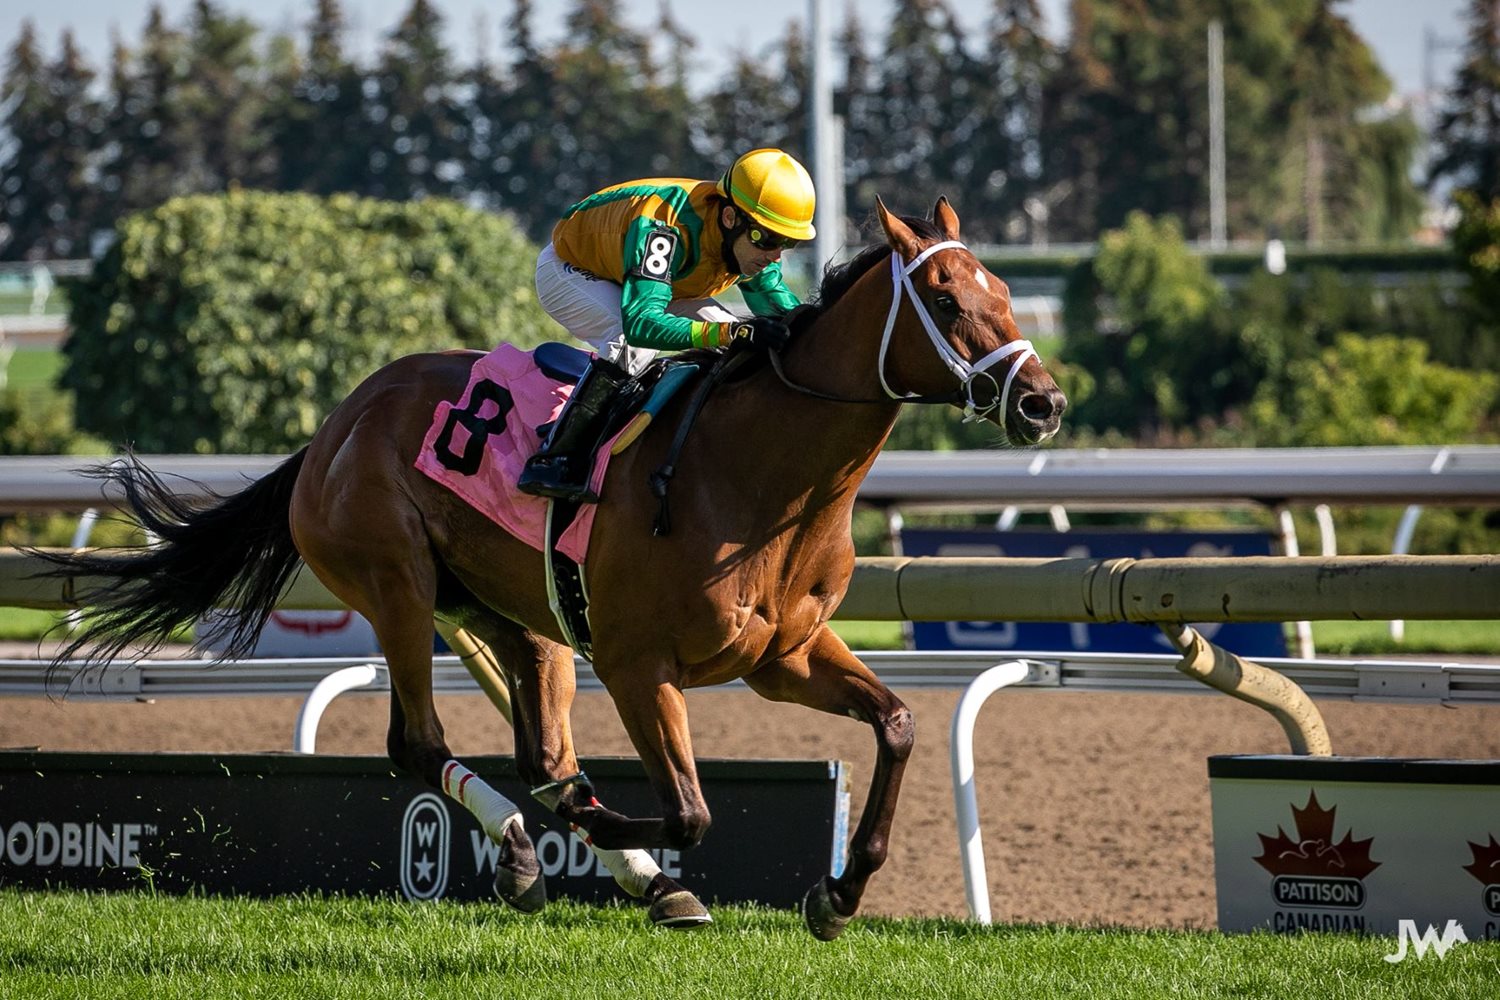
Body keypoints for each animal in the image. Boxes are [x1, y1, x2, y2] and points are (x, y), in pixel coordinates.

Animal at [39, 197, 1065, 938]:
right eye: (945, 301)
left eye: (1007, 293)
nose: (1044, 403)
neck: (758, 473)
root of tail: (335, 425)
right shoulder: (640, 664)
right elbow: (689, 811)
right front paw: (617, 834)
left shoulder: (784, 657)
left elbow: (896, 724)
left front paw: (837, 896)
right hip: (398, 585)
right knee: (422, 744)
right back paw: (533, 855)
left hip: (514, 614)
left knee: (538, 750)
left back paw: (633, 878)